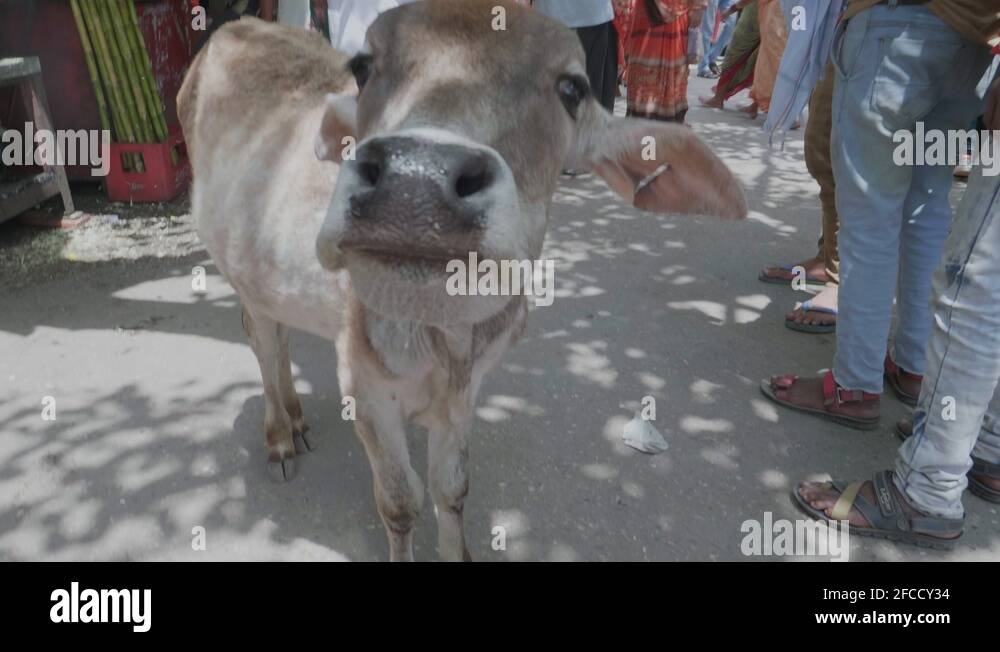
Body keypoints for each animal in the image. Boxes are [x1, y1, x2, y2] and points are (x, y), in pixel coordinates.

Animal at [177, 0, 747, 561]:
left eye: (572, 89)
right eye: (362, 68)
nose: (415, 183)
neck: (449, 339)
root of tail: (236, 27)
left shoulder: (468, 391)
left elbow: (451, 489)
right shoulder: (364, 387)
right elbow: (401, 501)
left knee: (278, 334)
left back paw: (295, 417)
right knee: (261, 338)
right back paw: (278, 434)